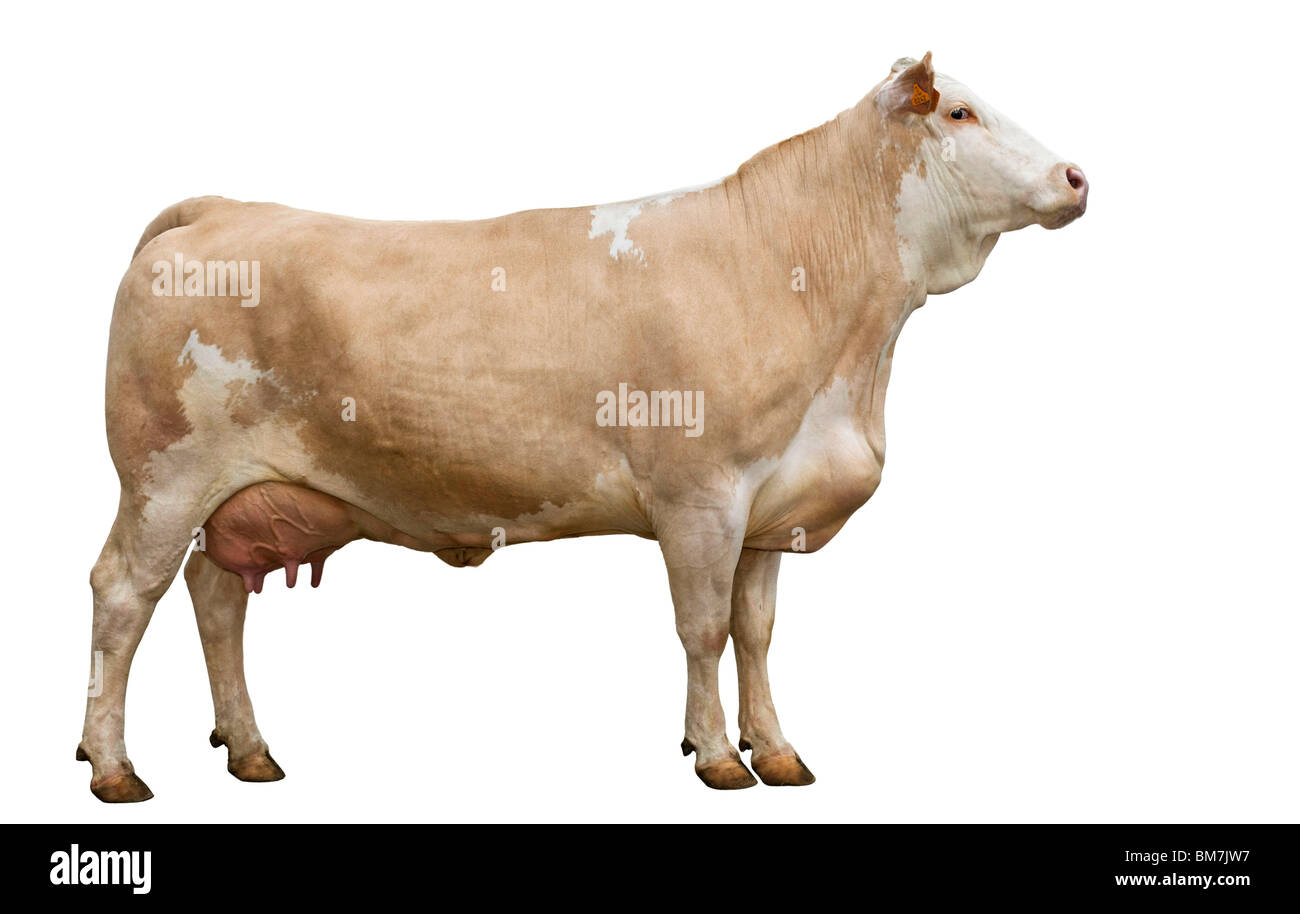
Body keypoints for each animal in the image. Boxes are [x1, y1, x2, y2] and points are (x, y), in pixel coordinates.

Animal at [80, 52, 1087, 801]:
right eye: (959, 111)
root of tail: (218, 210)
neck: (848, 352)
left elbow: (757, 633)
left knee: (216, 597)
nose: (1076, 175)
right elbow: (703, 630)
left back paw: (250, 749)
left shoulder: (771, 508)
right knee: (124, 595)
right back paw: (114, 767)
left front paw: (777, 750)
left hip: (244, 493)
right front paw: (716, 757)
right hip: (163, 477)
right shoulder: (699, 498)